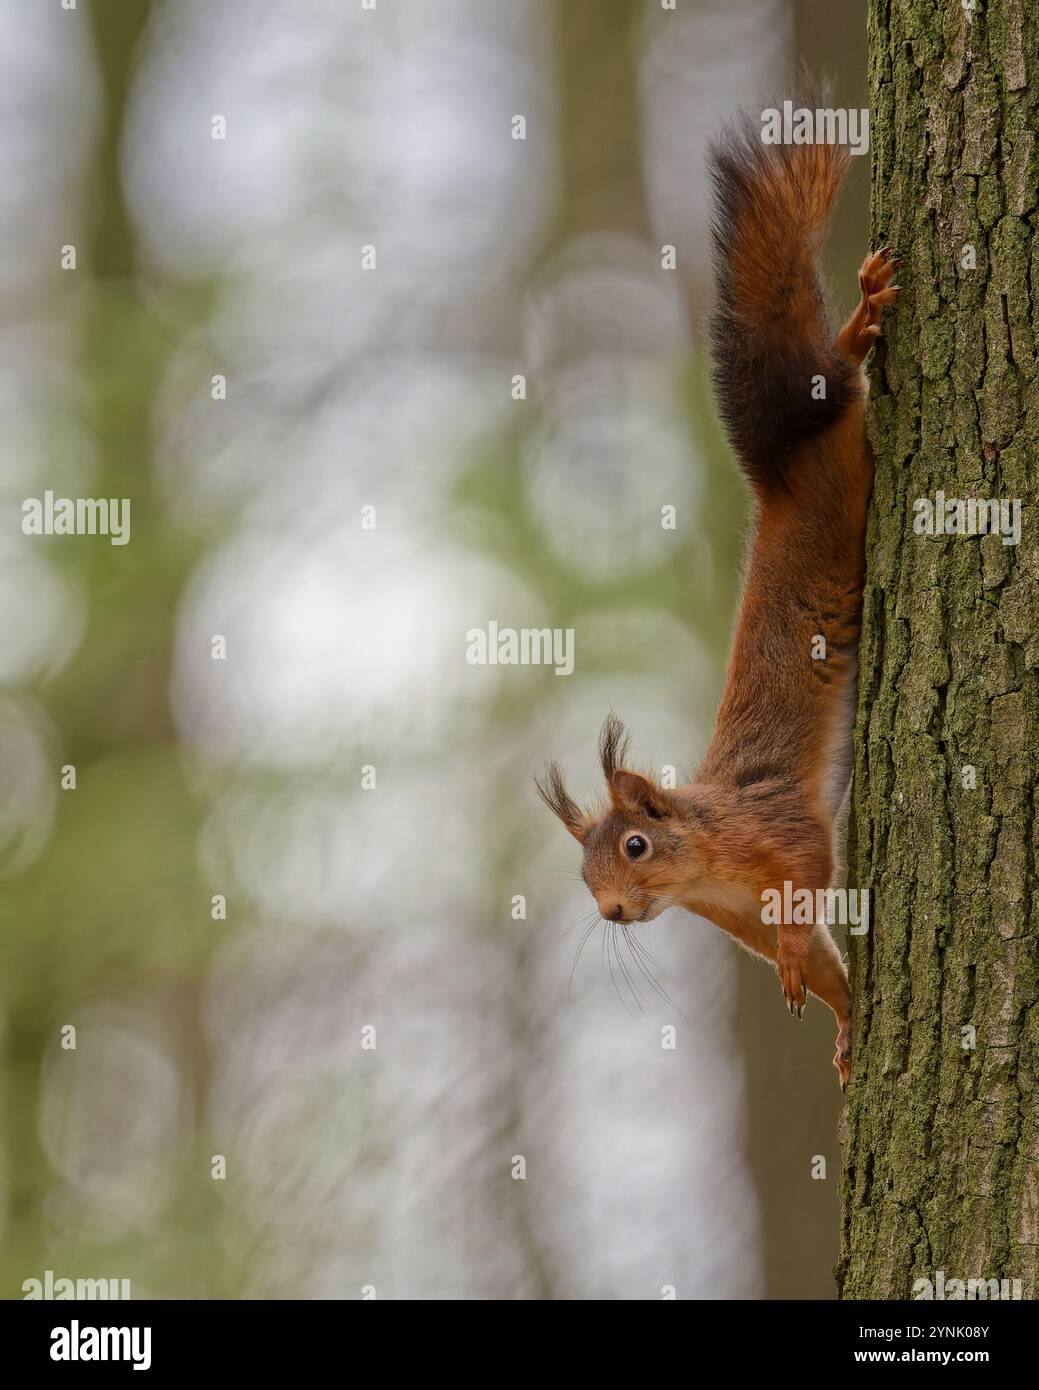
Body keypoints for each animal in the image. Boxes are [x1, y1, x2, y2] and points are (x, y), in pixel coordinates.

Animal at [537, 112, 901, 1088]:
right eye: (581, 876)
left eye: (633, 846)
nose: (612, 913)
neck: (701, 872)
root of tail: (775, 480)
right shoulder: (732, 913)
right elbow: (826, 965)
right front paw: (845, 1023)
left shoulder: (776, 834)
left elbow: (811, 878)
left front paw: (791, 968)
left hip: (834, 430)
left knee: (834, 377)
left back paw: (861, 318)